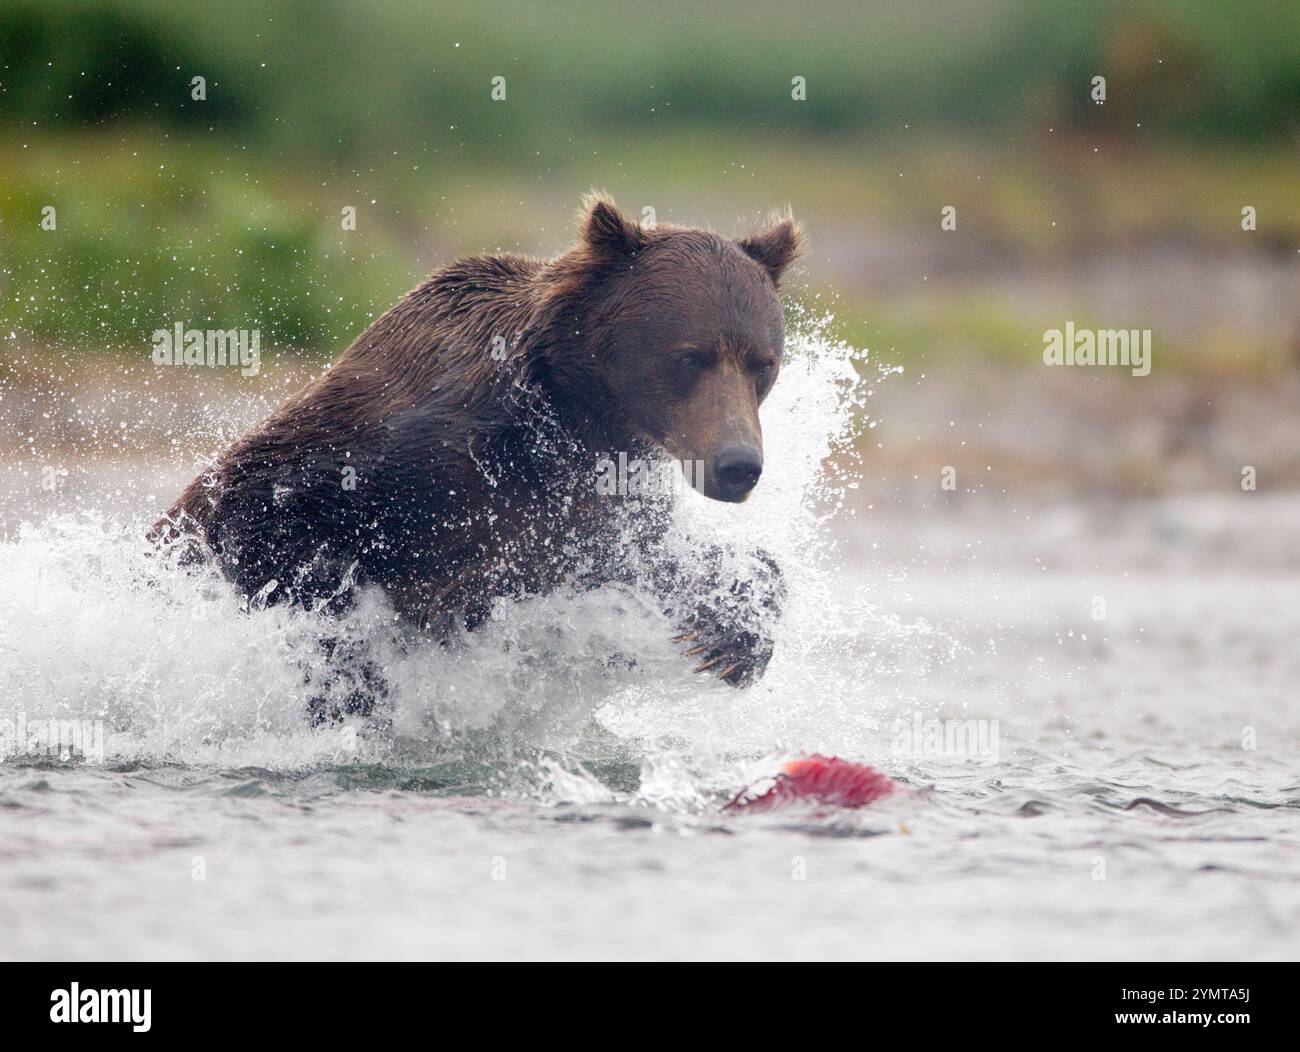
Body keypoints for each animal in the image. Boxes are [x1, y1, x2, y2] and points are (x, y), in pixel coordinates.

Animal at [151, 194, 803, 716]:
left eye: (762, 363)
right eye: (690, 357)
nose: (738, 465)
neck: (571, 414)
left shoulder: (593, 506)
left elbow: (652, 559)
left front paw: (733, 634)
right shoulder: (410, 452)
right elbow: (273, 519)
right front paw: (353, 678)